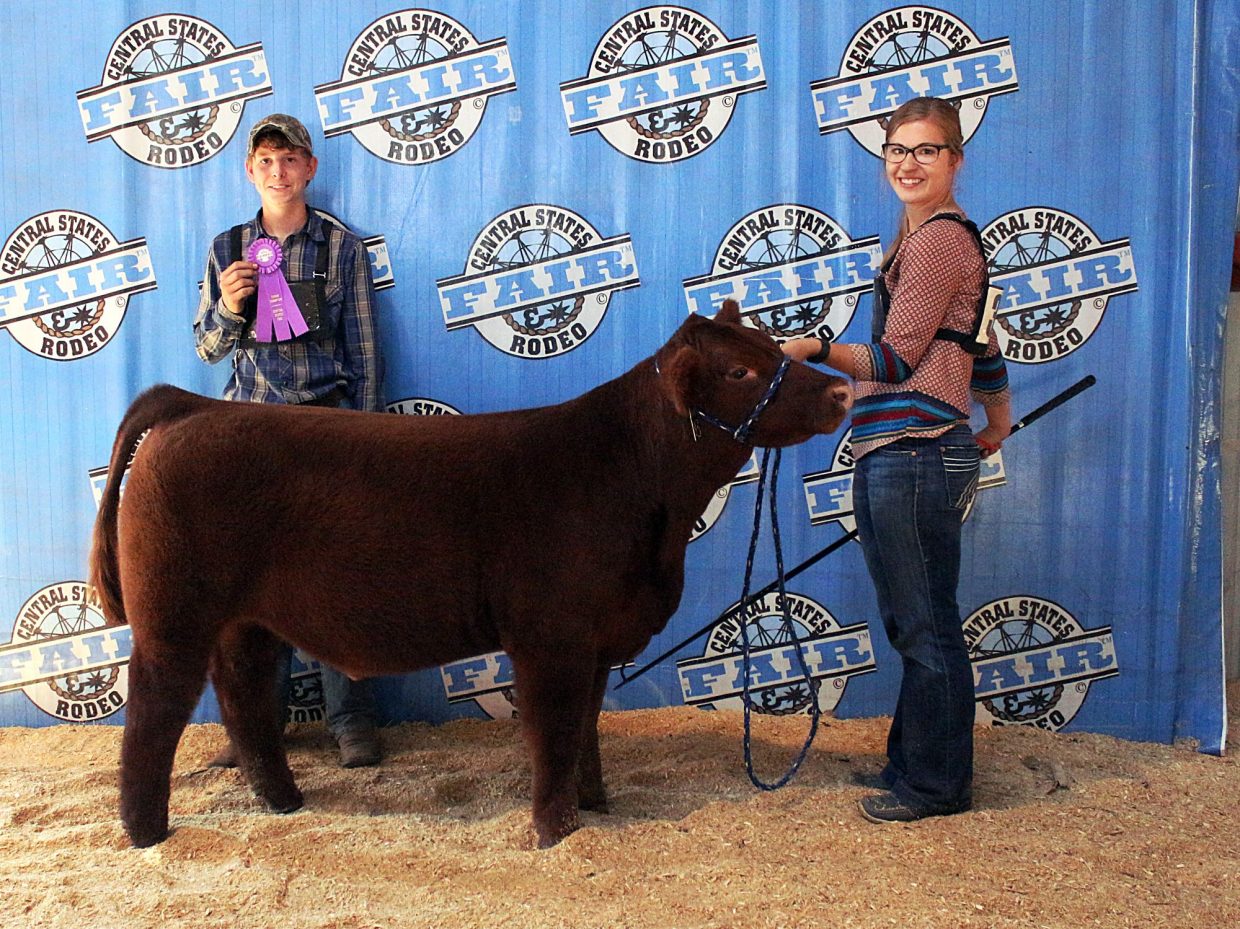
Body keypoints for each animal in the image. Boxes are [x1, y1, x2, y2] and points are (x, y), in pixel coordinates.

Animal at [90, 300, 852, 849]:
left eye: (772, 347)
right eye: (739, 373)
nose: (842, 393)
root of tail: (197, 407)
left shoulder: (595, 637)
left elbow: (587, 728)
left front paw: (596, 807)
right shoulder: (550, 636)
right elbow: (555, 731)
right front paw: (554, 832)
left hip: (245, 621)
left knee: (243, 697)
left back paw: (284, 802)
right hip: (173, 614)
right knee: (154, 713)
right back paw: (147, 832)